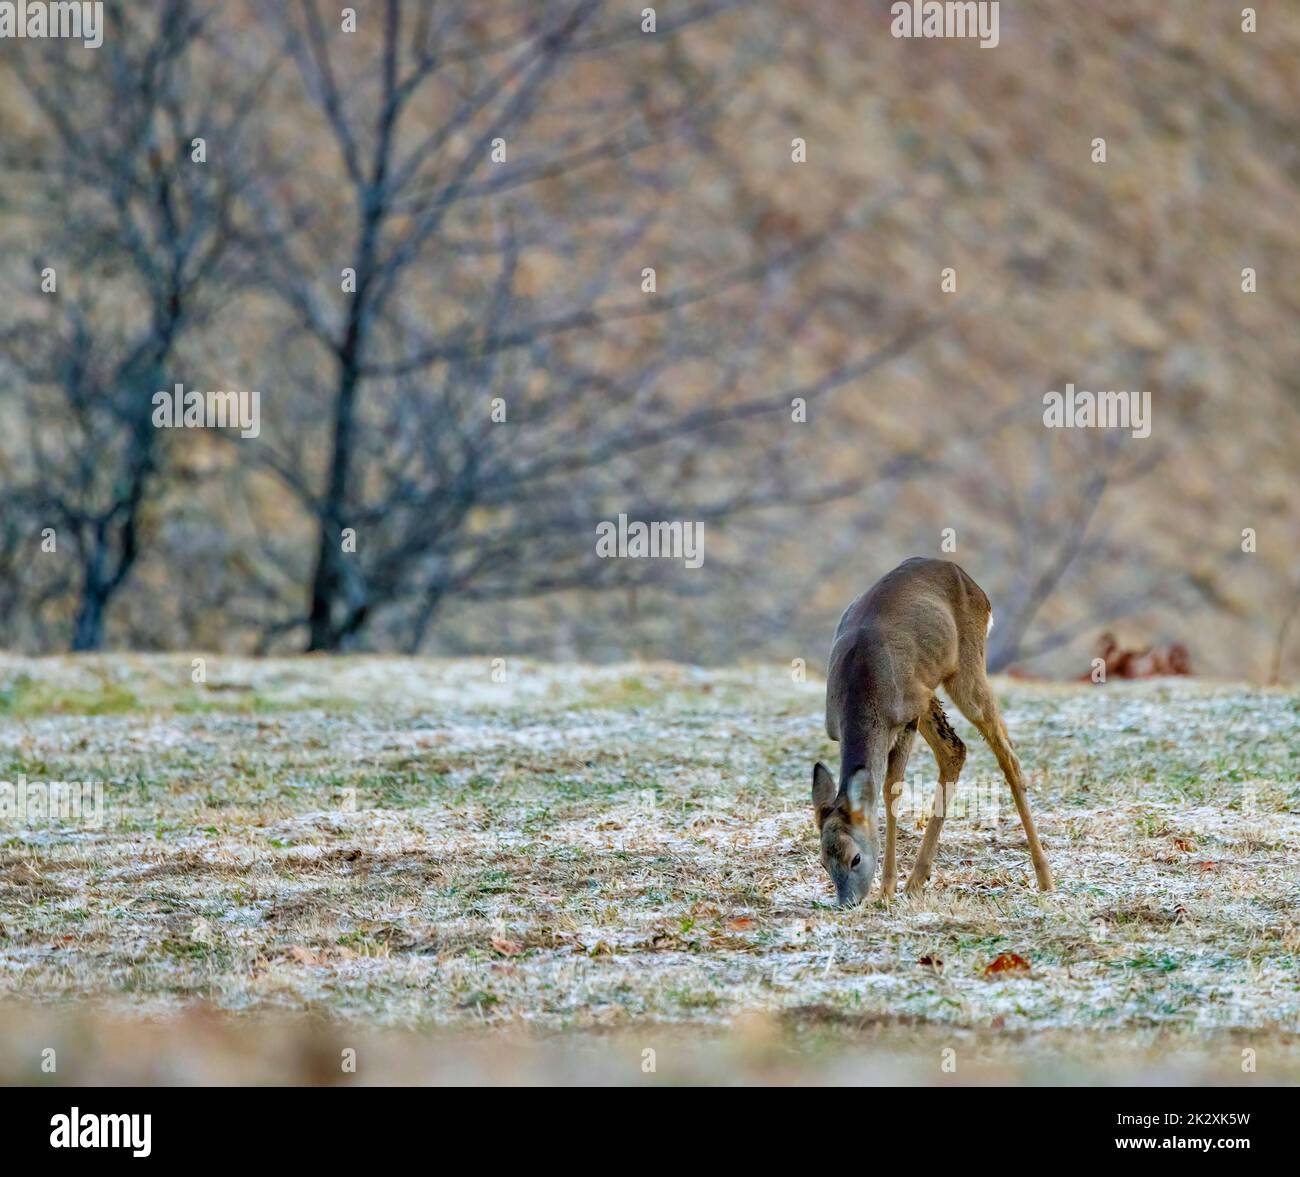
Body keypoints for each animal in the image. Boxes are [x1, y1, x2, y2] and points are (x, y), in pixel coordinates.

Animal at [811, 557, 1053, 906]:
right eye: (823, 862)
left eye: (855, 857)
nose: (847, 902)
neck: (862, 692)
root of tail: (974, 585)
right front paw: (893, 887)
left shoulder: (904, 717)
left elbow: (891, 790)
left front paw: (886, 890)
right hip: (928, 689)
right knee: (956, 749)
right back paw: (917, 880)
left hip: (964, 670)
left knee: (1006, 754)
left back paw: (1045, 878)